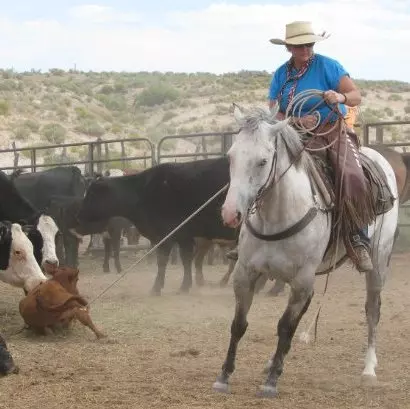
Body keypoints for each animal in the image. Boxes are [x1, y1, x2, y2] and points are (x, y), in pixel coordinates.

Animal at [77, 156, 237, 294]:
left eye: (91, 193)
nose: (78, 214)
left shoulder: (167, 236)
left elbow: (163, 261)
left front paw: (158, 288)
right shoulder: (182, 236)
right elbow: (186, 260)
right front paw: (185, 285)